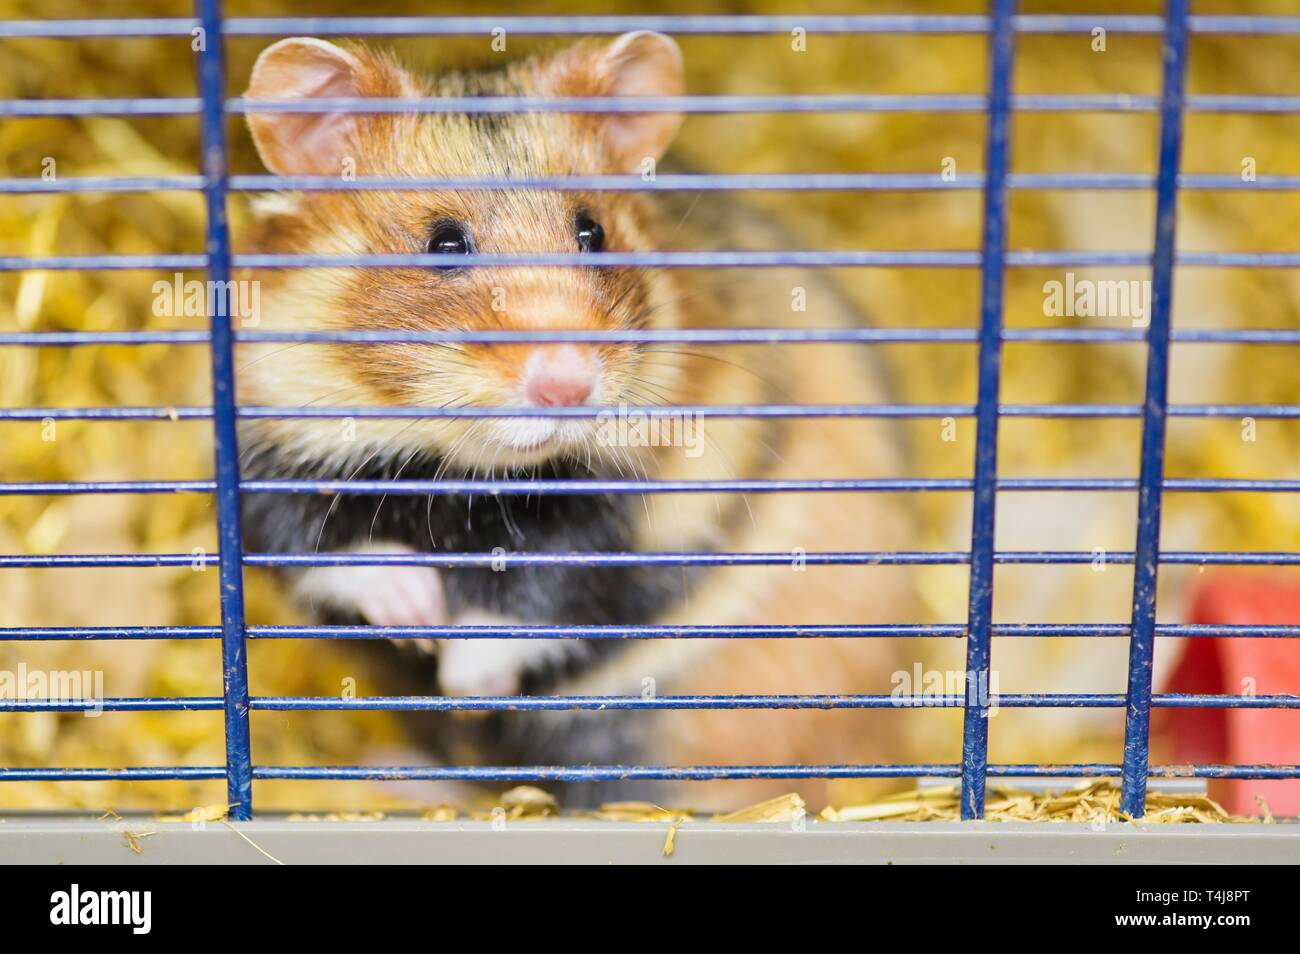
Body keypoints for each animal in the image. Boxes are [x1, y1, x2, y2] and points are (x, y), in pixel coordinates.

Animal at [236, 33, 917, 808]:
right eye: (444, 243)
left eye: (593, 231)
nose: (568, 386)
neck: (466, 470)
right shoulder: (267, 460)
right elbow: (333, 553)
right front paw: (419, 619)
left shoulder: (644, 513)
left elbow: (550, 595)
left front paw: (464, 682)